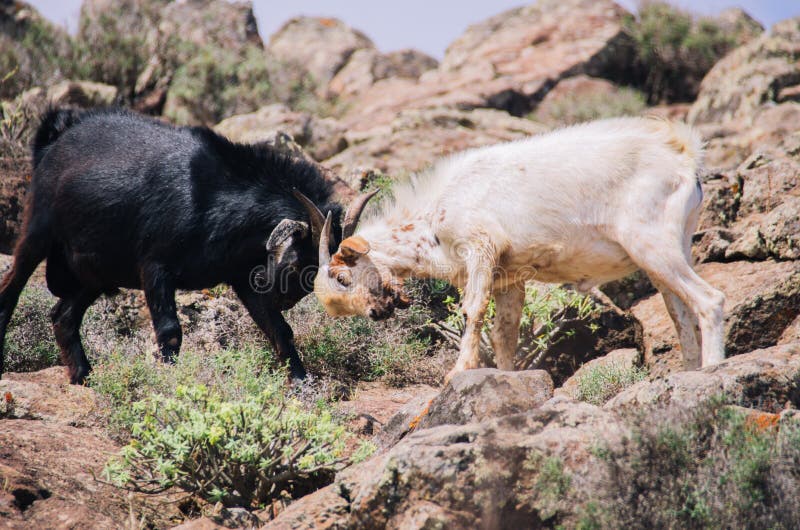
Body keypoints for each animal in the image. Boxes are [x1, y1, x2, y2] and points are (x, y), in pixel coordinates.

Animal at [0, 107, 372, 384]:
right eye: (296, 262)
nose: (283, 298)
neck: (215, 198)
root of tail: (55, 139)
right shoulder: (155, 267)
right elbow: (171, 332)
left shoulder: (241, 276)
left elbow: (279, 330)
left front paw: (301, 384)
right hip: (39, 232)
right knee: (11, 293)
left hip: (96, 272)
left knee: (63, 316)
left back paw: (83, 377)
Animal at [311, 117, 726, 381]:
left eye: (342, 276)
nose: (376, 313)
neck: (435, 212)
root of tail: (685, 156)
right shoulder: (510, 276)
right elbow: (504, 332)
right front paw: (505, 376)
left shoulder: (480, 250)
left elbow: (473, 310)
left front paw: (459, 371)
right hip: (668, 253)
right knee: (680, 313)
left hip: (653, 245)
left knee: (710, 300)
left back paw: (712, 369)